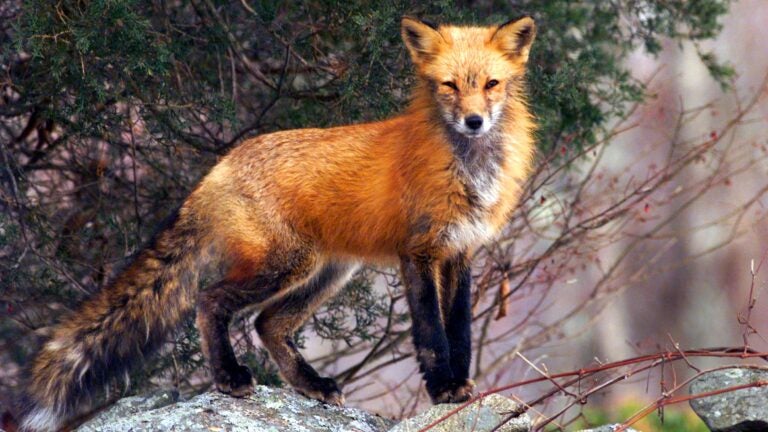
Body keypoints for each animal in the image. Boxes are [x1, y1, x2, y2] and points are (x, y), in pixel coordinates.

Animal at [19, 16, 537, 431]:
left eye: (491, 84)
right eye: (449, 85)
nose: (474, 121)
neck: (468, 170)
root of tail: (221, 165)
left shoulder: (460, 252)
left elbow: (460, 330)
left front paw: (461, 387)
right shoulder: (420, 251)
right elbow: (432, 334)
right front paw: (442, 390)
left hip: (325, 272)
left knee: (267, 324)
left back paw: (312, 386)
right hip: (288, 265)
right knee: (211, 302)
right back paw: (229, 378)